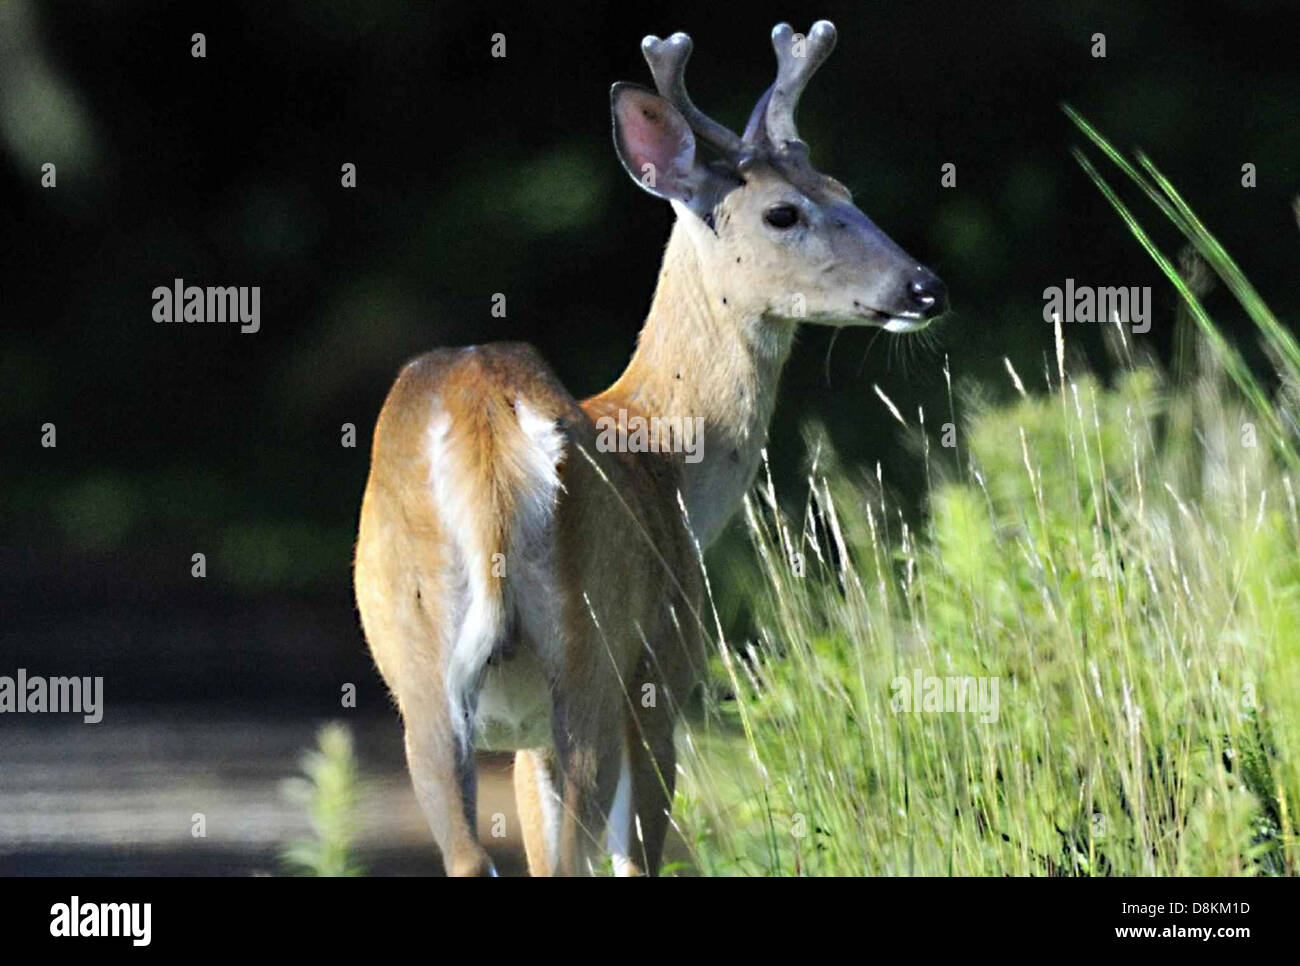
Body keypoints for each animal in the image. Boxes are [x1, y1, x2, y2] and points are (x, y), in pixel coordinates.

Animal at [353, 20, 947, 877]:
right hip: (593, 657)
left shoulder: (524, 735)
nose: (924, 287)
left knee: (471, 851)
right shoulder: (664, 671)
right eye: (783, 213)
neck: (664, 454)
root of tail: (483, 425)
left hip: (420, 672)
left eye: (846, 190)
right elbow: (637, 855)